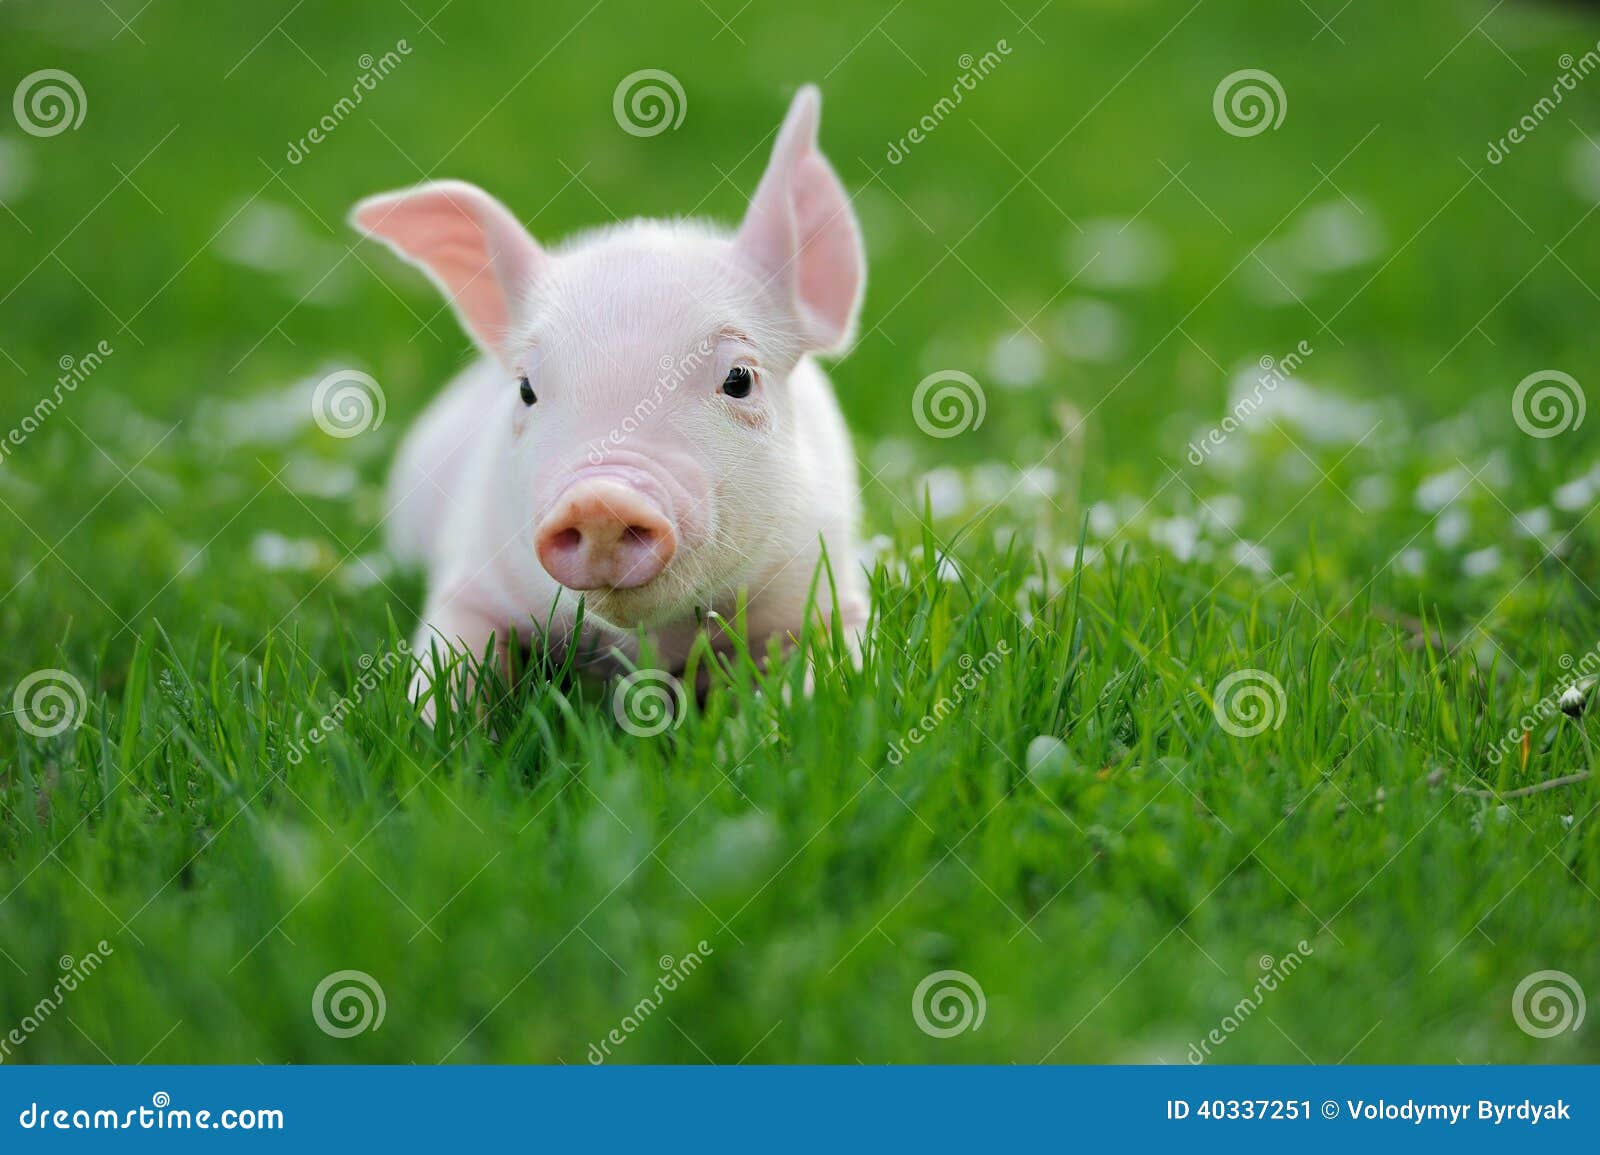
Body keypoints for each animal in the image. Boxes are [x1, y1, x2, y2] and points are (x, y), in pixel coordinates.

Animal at [349, 85, 868, 717]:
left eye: (739, 378)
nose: (598, 500)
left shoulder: (829, 582)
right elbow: (447, 665)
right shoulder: (471, 573)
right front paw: (430, 724)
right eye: (526, 389)